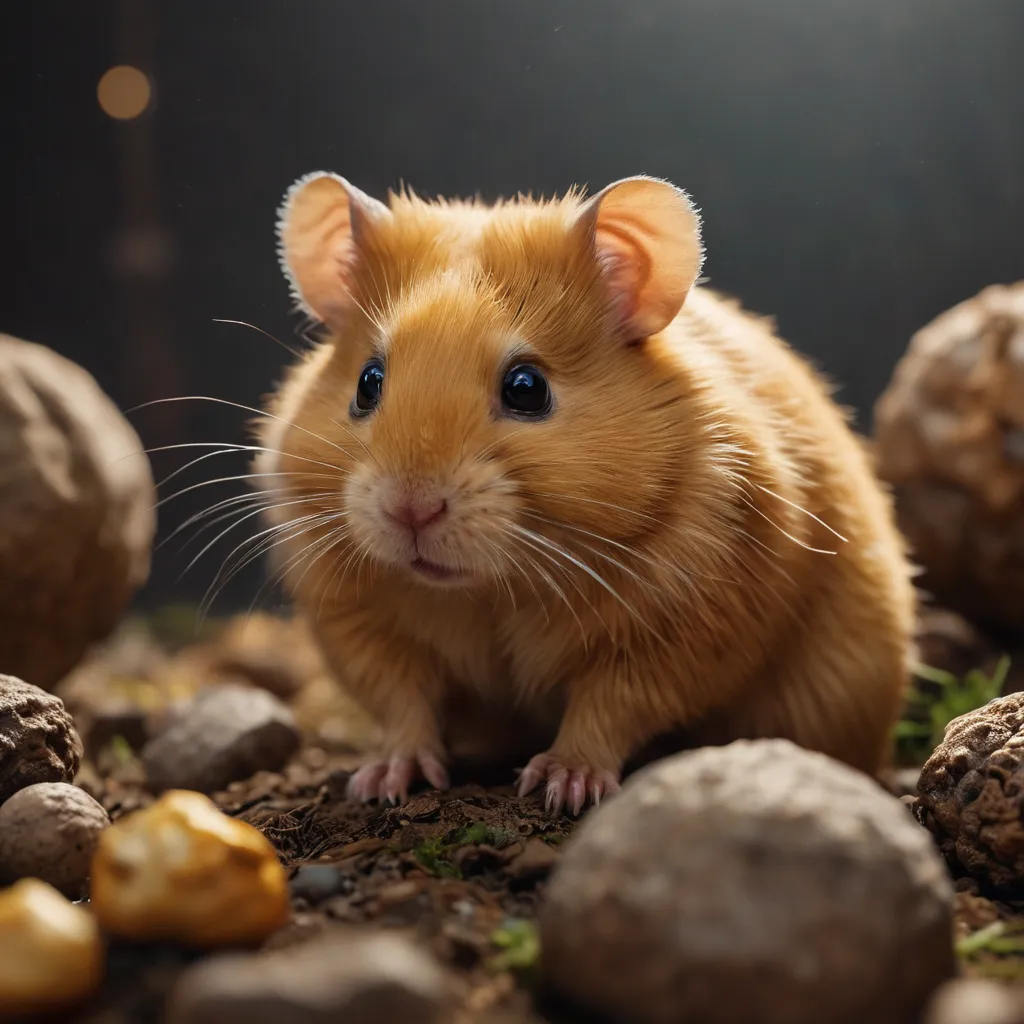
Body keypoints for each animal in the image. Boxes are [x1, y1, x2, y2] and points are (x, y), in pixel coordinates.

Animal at [254, 171, 916, 814]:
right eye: (368, 383)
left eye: (527, 388)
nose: (410, 509)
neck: (489, 591)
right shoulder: (352, 618)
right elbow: (403, 702)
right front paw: (386, 780)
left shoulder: (688, 627)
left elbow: (609, 708)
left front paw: (561, 785)